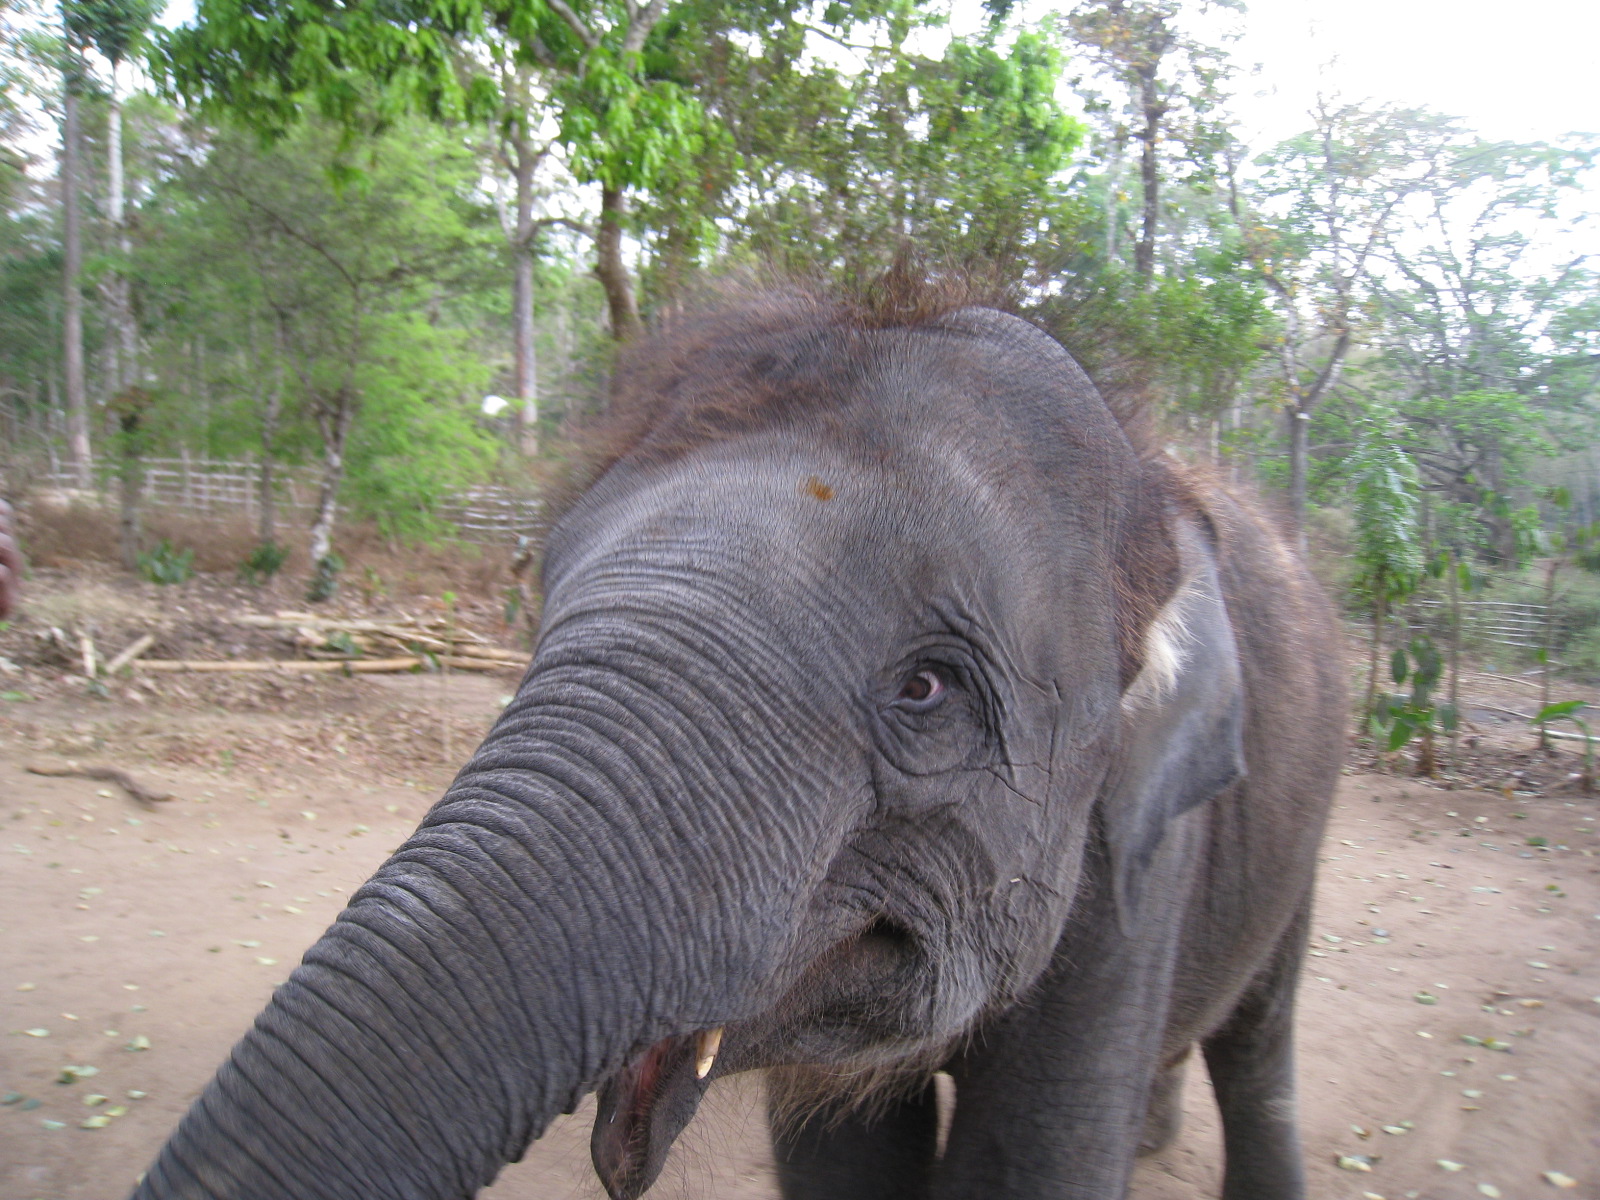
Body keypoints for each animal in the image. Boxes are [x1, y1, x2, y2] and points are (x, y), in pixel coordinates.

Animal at [132, 288, 1345, 1200]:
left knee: (1261, 1045)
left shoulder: (1137, 871)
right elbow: (848, 1172)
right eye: (544, 602)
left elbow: (1028, 1170)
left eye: (927, 689)